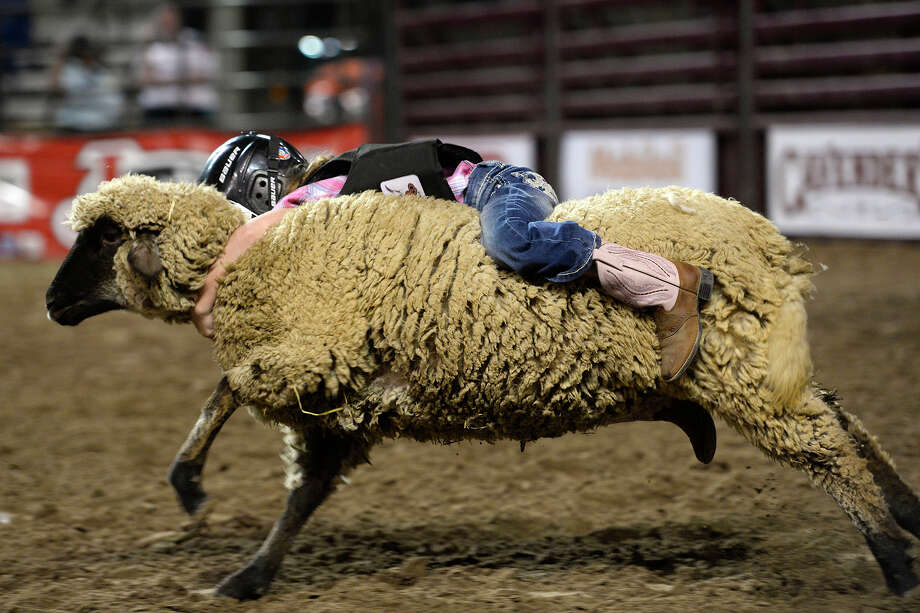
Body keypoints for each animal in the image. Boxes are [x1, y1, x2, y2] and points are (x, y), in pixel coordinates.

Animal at [45, 174, 920, 600]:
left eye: (101, 236)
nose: (51, 303)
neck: (255, 259)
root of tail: (764, 238)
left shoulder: (319, 358)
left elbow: (227, 383)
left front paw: (192, 488)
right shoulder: (337, 406)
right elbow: (300, 491)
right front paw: (248, 574)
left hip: (741, 365)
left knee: (826, 448)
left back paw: (893, 560)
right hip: (757, 359)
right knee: (839, 417)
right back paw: (907, 512)